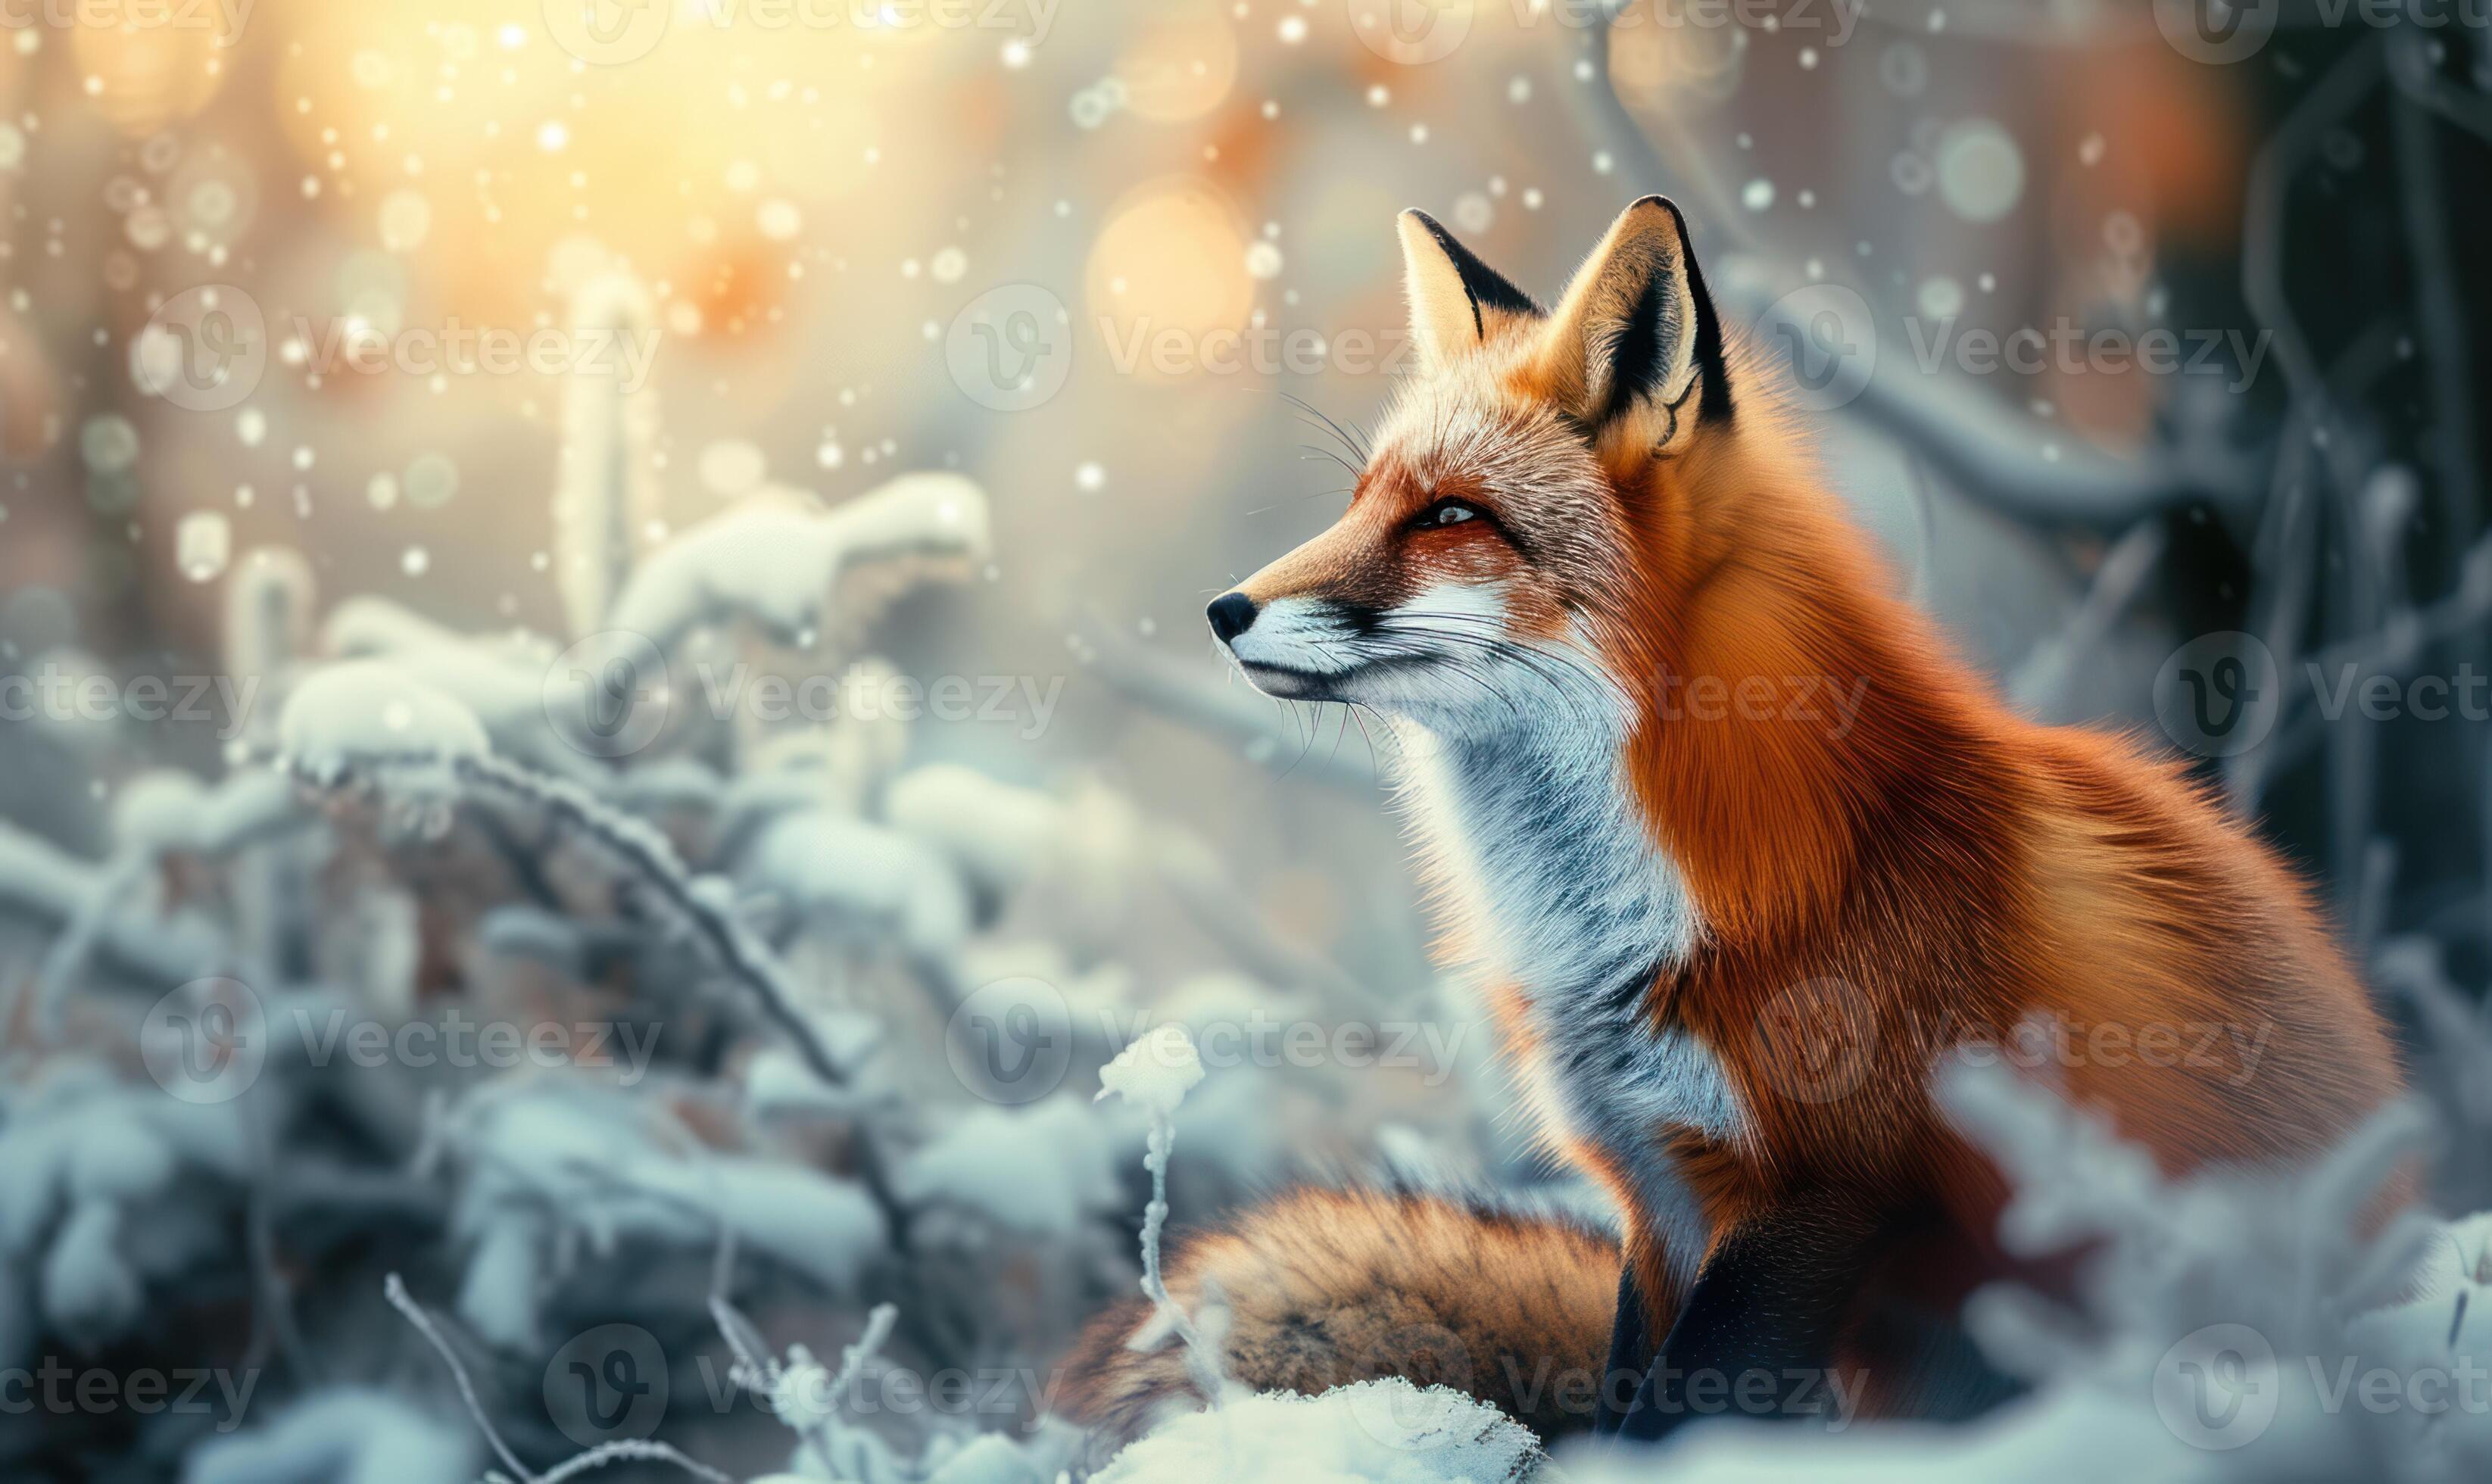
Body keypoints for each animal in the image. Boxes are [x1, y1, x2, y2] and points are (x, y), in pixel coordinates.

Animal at [1060, 198, 2409, 1450]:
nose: (1222, 611)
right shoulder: (1654, 1194)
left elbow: (1675, 1419)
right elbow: (1624, 1395)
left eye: (1447, 516)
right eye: (1357, 501)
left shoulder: (1822, 1195)